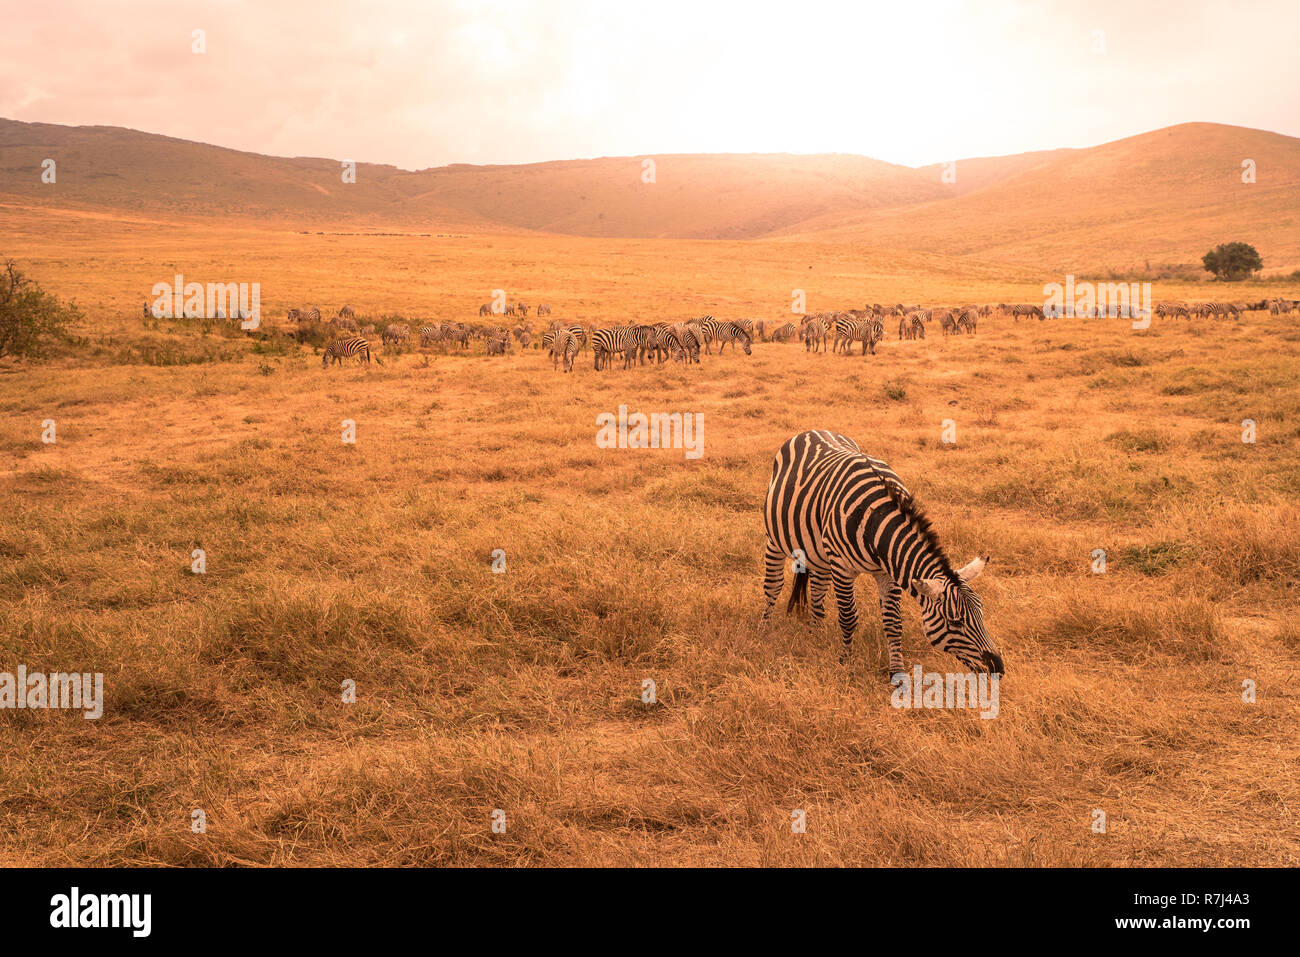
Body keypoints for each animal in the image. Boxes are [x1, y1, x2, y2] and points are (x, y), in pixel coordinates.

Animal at [760, 430, 1002, 677]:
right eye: (955, 622)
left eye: (981, 611)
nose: (997, 667)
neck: (876, 519)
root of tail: (812, 430)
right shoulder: (842, 567)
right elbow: (848, 617)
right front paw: (847, 663)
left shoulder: (889, 570)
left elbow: (893, 622)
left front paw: (897, 671)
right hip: (775, 539)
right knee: (773, 586)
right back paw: (765, 631)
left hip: (820, 554)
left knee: (818, 592)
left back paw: (816, 635)